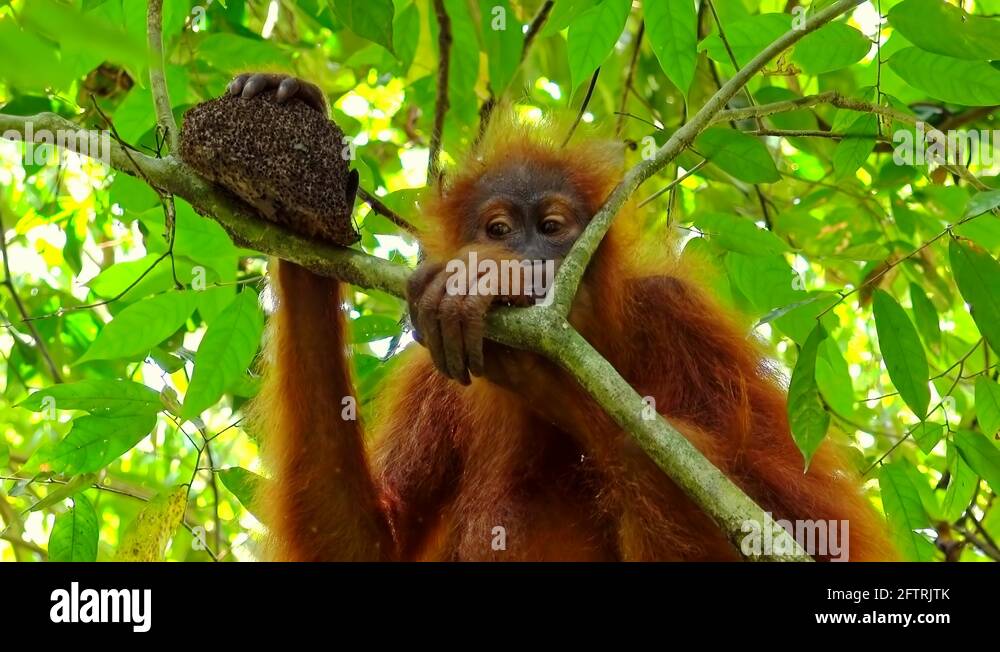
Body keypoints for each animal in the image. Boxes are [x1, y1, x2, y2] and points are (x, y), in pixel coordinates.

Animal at [201, 73, 897, 561]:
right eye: (499, 229)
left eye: (554, 227)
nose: (529, 256)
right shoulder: (431, 383)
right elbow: (364, 545)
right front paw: (292, 191)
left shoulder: (682, 317)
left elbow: (800, 528)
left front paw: (542, 371)